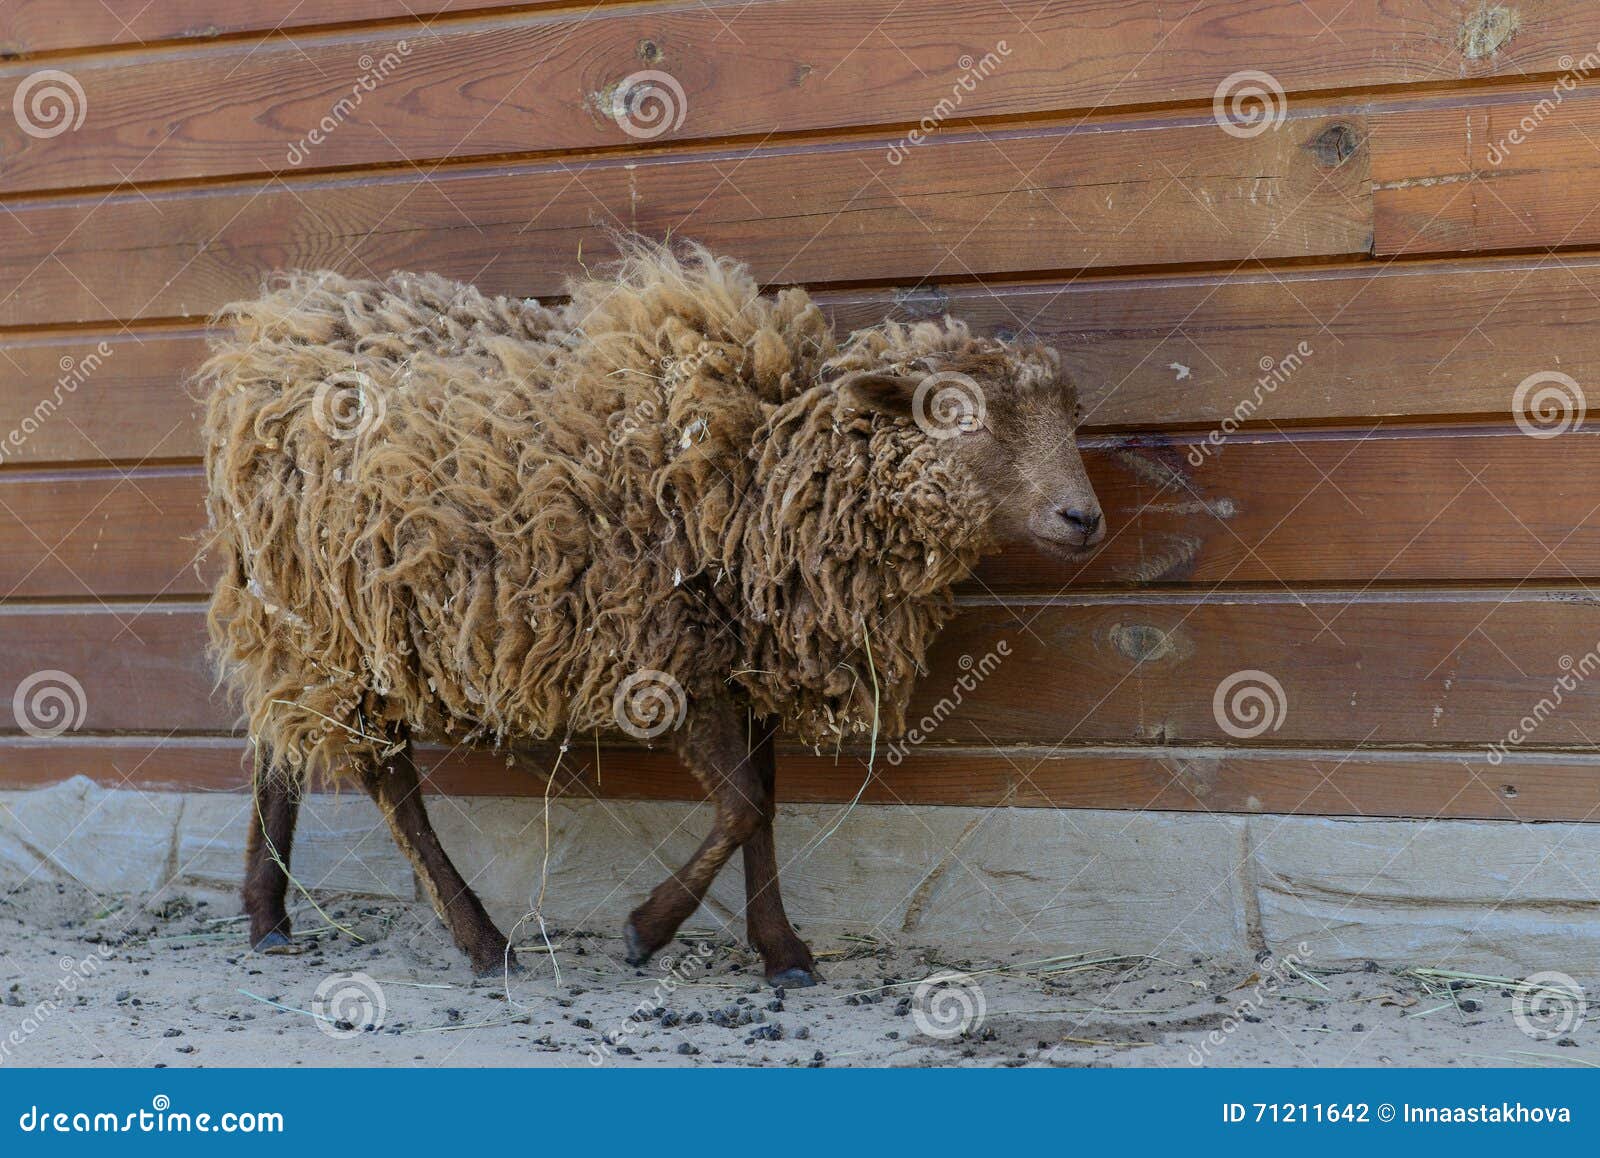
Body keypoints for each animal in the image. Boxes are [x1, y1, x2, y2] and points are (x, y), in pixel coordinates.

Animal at [199, 240, 1105, 985]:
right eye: (953, 410)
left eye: (1069, 416)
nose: (1084, 518)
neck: (764, 465)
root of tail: (269, 334)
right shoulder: (663, 653)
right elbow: (741, 806)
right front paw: (648, 930)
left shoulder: (746, 662)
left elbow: (763, 810)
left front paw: (782, 954)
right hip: (347, 618)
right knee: (385, 778)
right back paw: (481, 941)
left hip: (296, 617)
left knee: (278, 744)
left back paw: (268, 917)